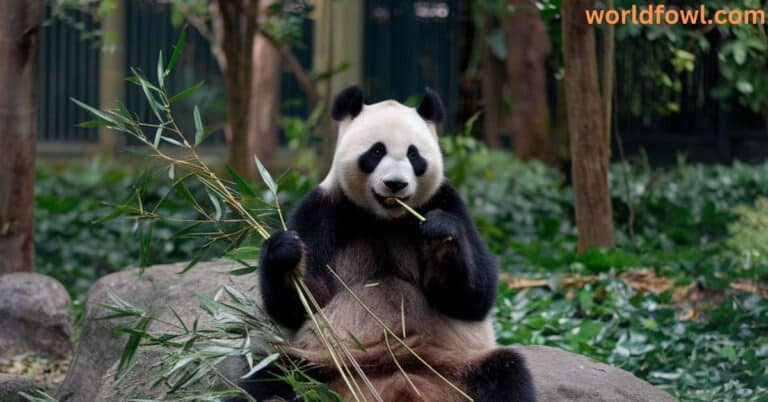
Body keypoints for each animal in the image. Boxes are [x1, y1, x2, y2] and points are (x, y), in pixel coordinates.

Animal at [238, 86, 535, 402]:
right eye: (376, 151)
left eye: (414, 155)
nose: (395, 184)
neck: (385, 218)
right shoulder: (325, 208)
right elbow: (299, 303)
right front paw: (285, 251)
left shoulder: (447, 201)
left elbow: (474, 296)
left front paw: (442, 237)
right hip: (320, 363)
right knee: (269, 374)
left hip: (456, 366)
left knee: (506, 373)